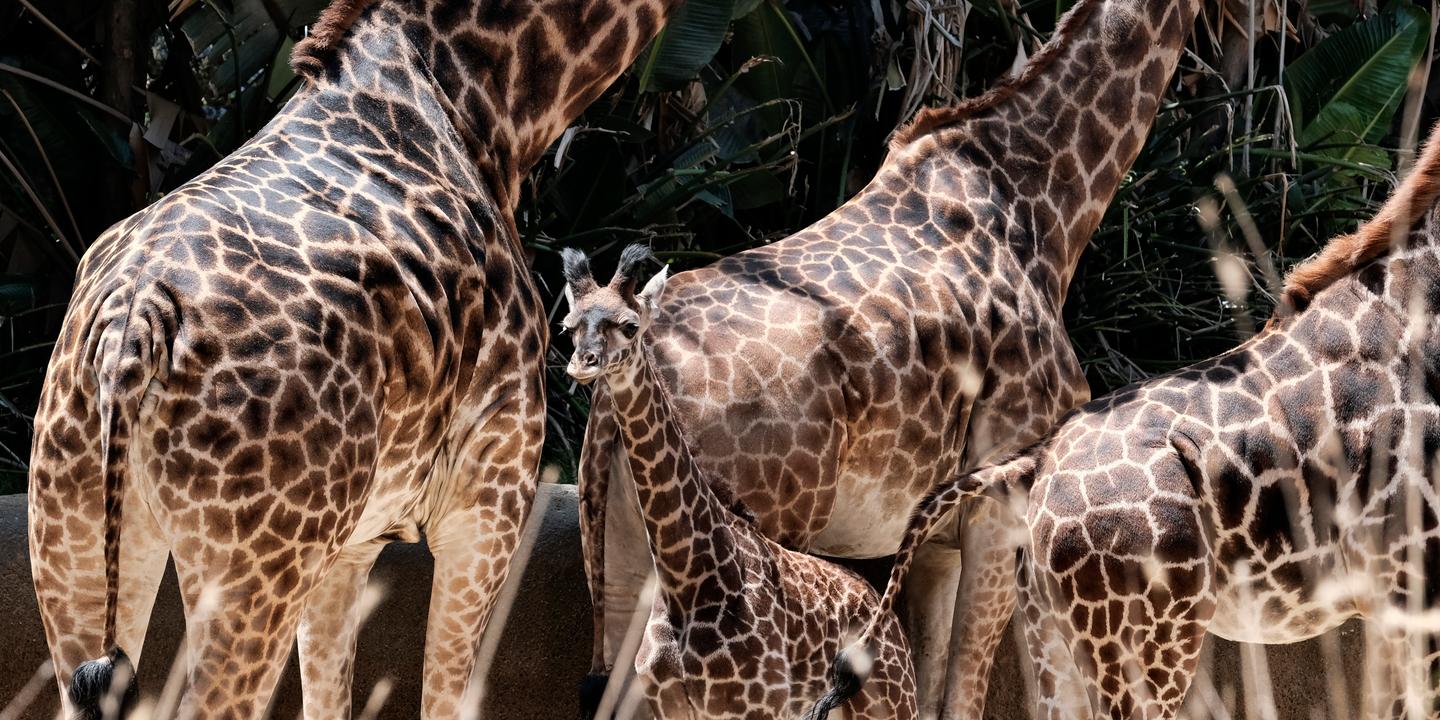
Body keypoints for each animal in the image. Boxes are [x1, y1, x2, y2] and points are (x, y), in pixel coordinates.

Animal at [26, 0, 685, 717]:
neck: (486, 105)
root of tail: (136, 319)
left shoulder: (351, 544)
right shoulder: (489, 496)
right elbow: (445, 699)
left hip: (74, 535)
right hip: (252, 568)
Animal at [560, 244, 916, 719]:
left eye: (630, 325)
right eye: (569, 326)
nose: (582, 365)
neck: (685, 579)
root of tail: (884, 612)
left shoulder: (756, 704)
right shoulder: (668, 703)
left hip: (891, 699)